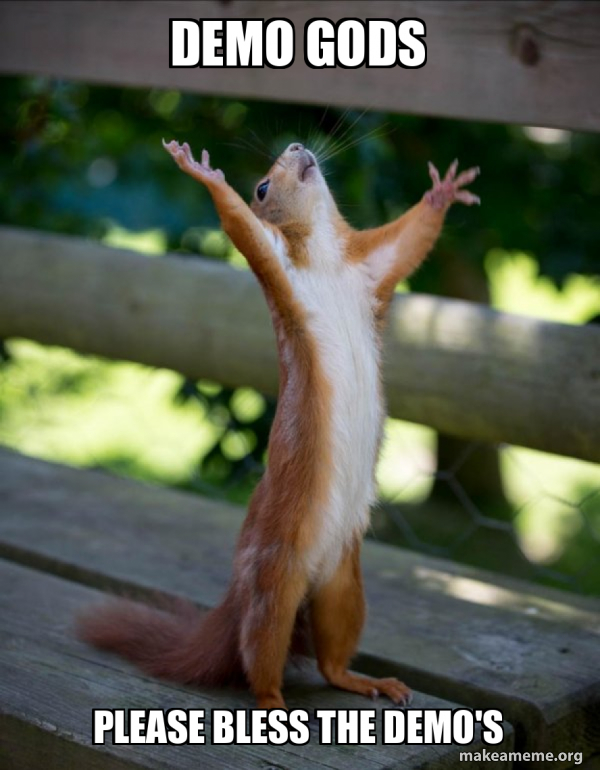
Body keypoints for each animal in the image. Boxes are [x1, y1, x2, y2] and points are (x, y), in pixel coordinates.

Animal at [78, 138, 479, 710]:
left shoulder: (372, 267)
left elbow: (410, 240)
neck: (327, 258)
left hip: (344, 586)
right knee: (259, 656)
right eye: (262, 187)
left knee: (332, 659)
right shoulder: (277, 264)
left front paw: (442, 192)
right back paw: (274, 703)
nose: (296, 146)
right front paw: (204, 173)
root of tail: (238, 596)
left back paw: (366, 681)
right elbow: (240, 225)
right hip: (274, 583)